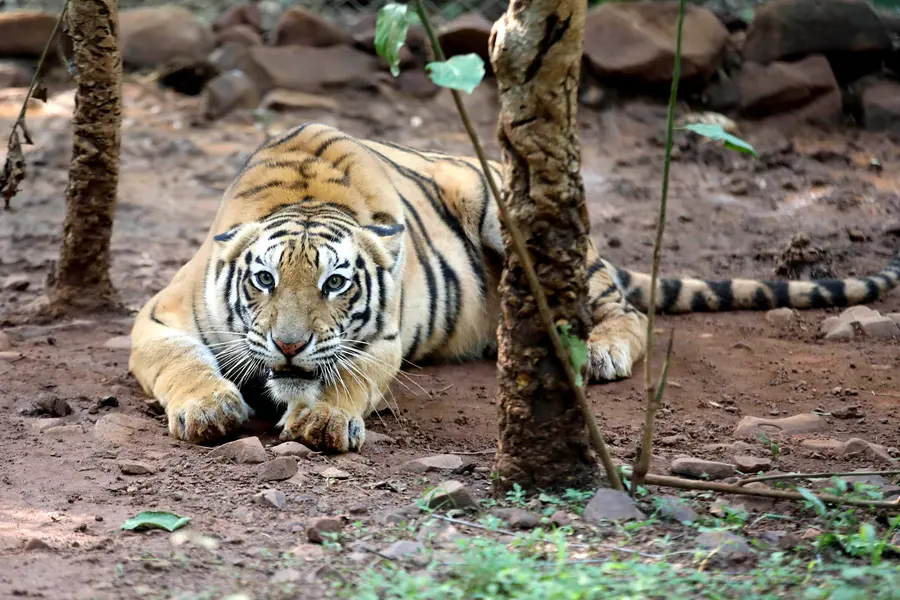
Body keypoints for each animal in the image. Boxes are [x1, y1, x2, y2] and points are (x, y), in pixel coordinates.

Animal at [129, 122, 900, 453]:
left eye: (336, 283)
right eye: (263, 280)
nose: (289, 347)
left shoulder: (379, 337)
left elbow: (348, 377)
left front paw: (320, 419)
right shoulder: (158, 315)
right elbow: (178, 361)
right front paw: (208, 409)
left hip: (514, 213)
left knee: (620, 306)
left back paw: (601, 352)